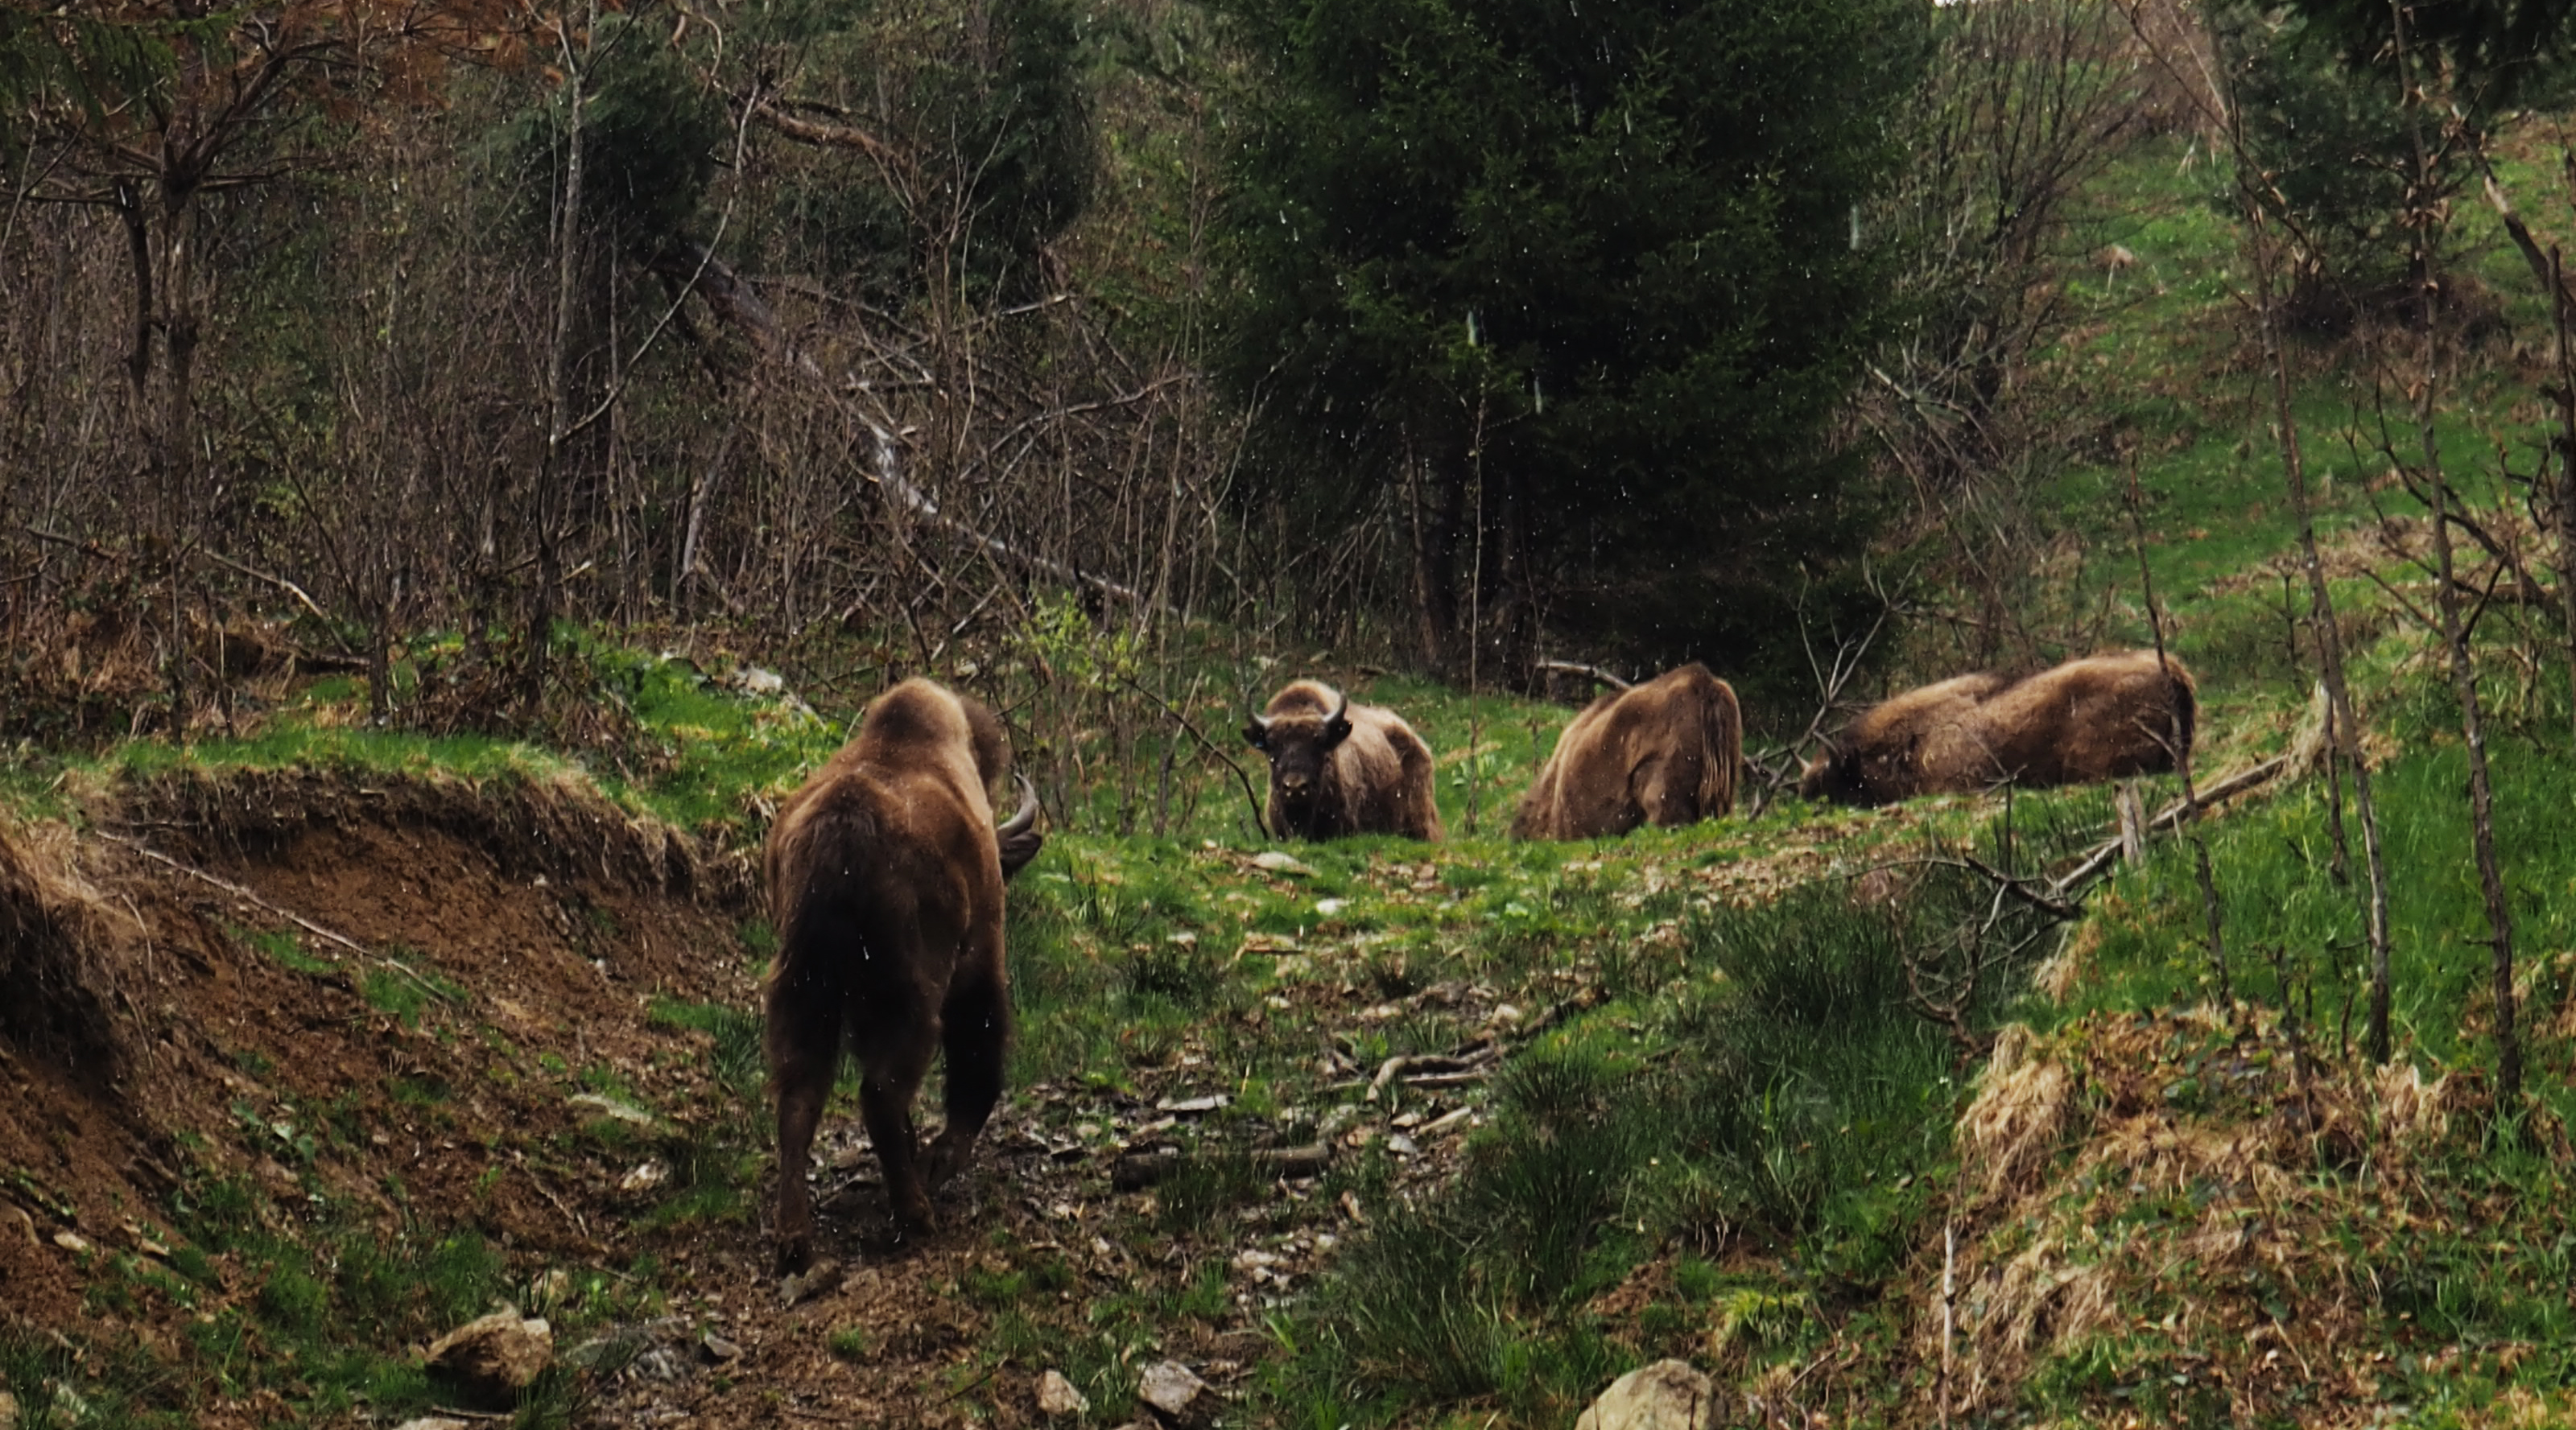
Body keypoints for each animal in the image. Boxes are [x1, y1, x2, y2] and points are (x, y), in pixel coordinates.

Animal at [762, 678, 1042, 1273]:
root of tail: (842, 826)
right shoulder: (981, 954)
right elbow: (978, 1055)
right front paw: (941, 1158)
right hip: (910, 995)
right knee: (881, 1092)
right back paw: (916, 1214)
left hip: (802, 987)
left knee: (799, 1095)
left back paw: (795, 1240)